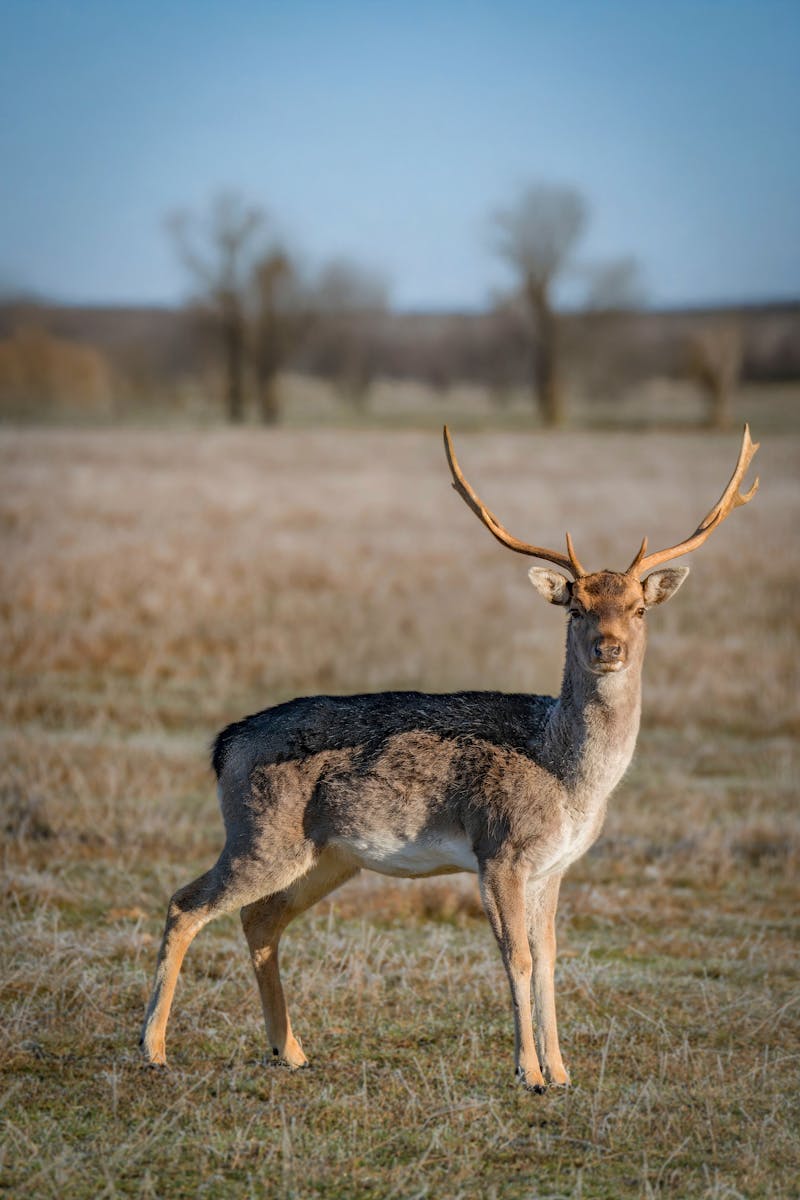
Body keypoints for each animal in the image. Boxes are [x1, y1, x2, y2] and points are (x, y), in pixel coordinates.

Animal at [141, 425, 759, 1092]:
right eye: (576, 607)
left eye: (639, 609)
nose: (609, 648)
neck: (568, 776)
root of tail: (225, 742)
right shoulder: (500, 851)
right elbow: (516, 958)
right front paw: (528, 1072)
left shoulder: (554, 867)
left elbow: (549, 960)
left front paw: (563, 1072)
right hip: (262, 836)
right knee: (185, 904)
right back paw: (153, 1049)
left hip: (327, 857)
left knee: (259, 920)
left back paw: (291, 1050)